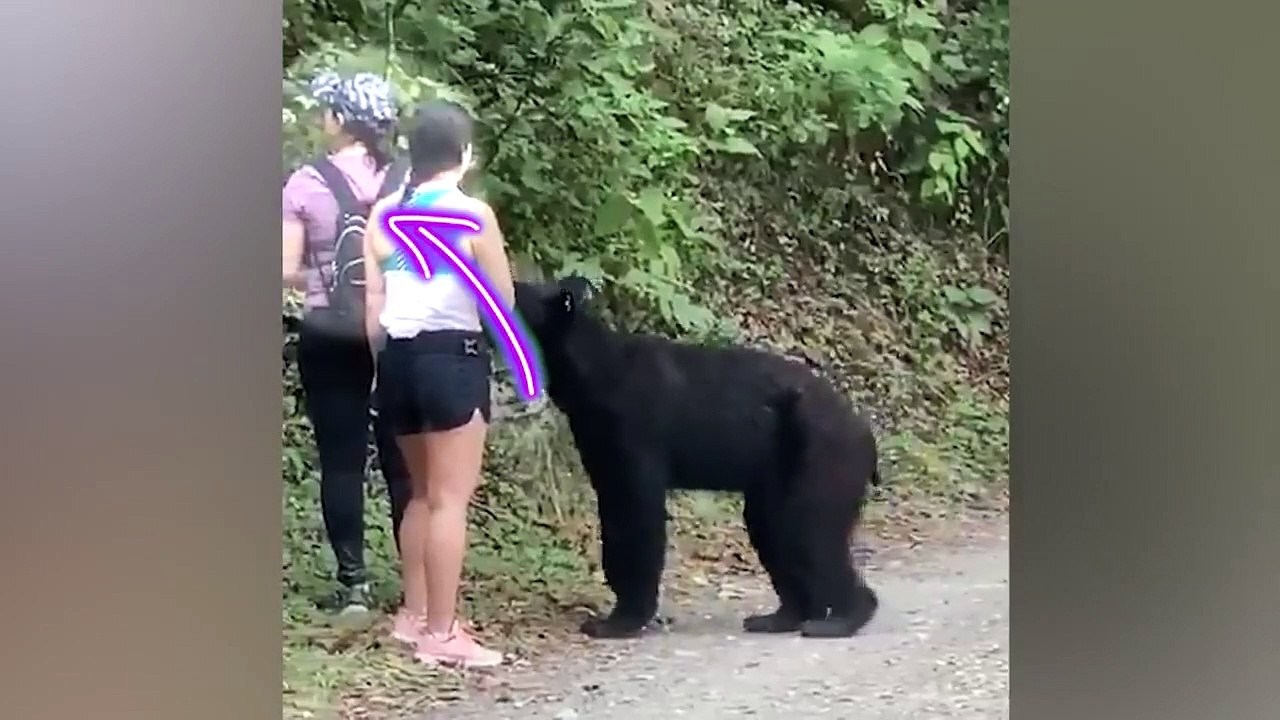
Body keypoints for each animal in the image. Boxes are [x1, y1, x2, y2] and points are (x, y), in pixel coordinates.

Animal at [512, 275, 882, 640]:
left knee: (811, 527)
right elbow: (614, 515)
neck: (590, 376)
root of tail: (865, 431)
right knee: (776, 530)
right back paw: (781, 617)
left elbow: (638, 515)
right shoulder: (599, 445)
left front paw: (620, 621)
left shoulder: (636, 431)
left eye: (516, 293)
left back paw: (841, 619)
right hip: (779, 474)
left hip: (824, 457)